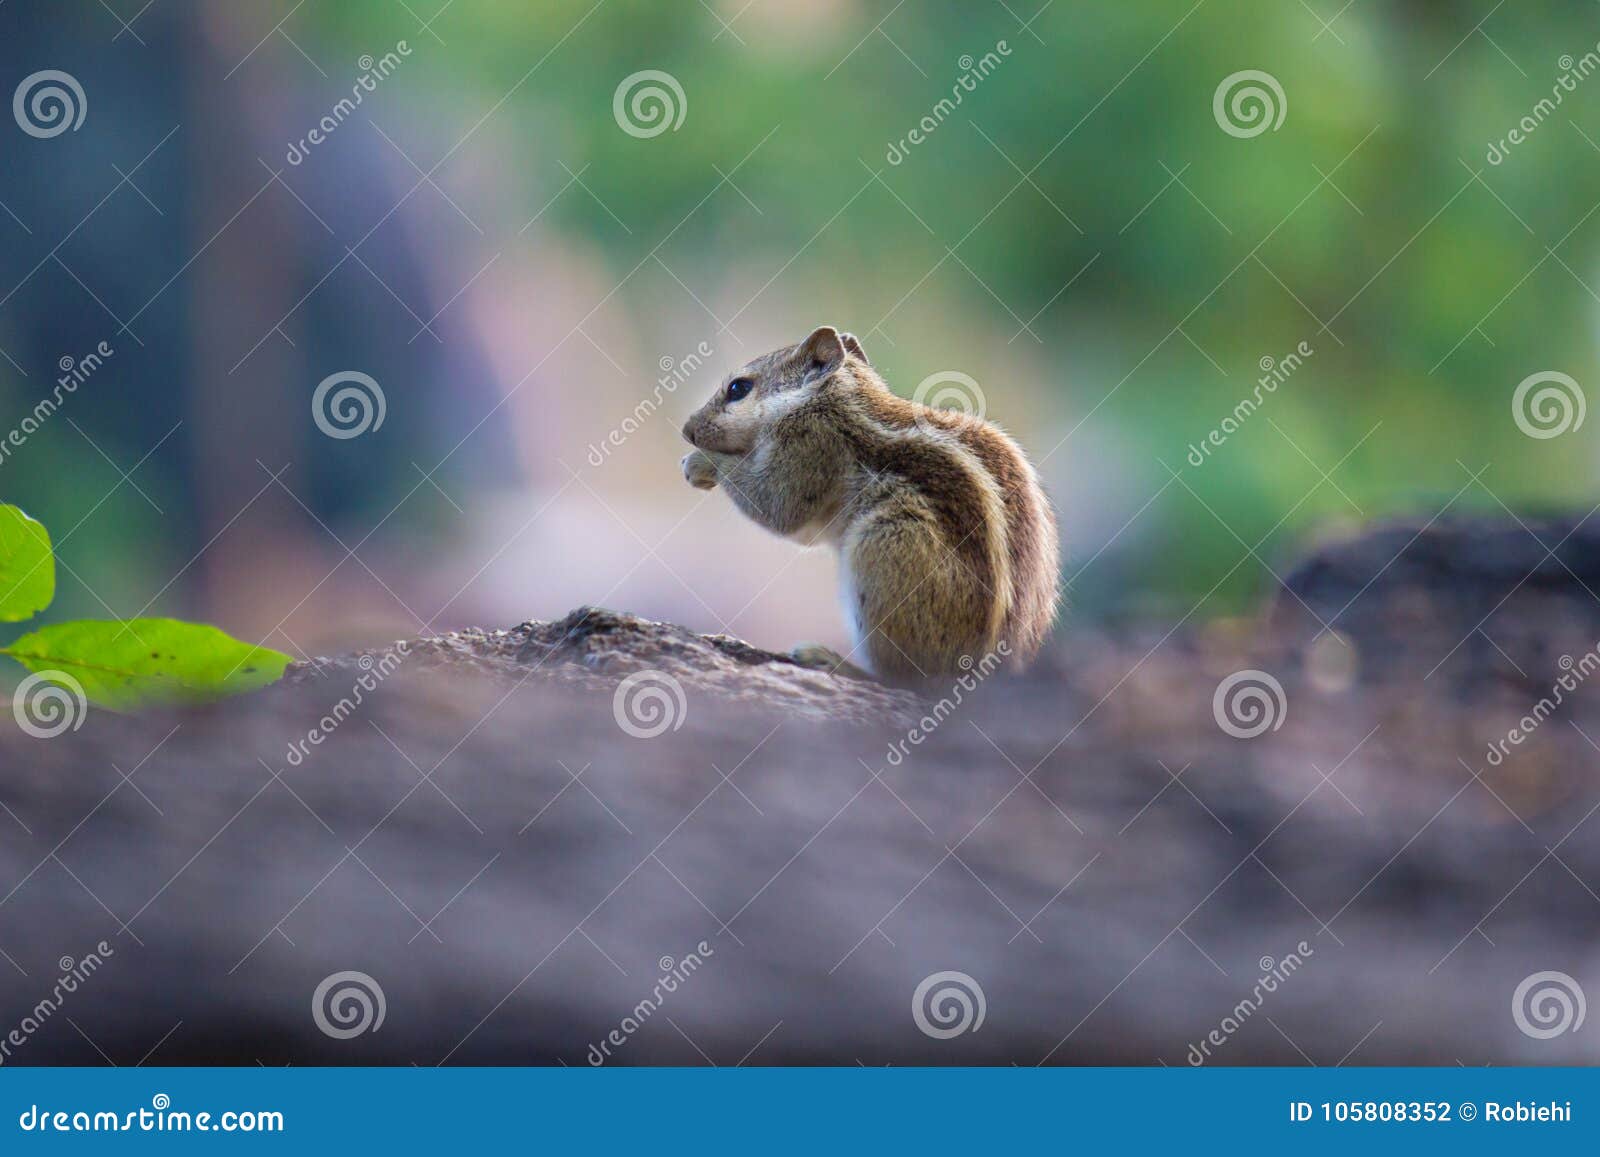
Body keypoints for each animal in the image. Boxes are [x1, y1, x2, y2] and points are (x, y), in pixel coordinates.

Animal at [680, 325, 1060, 686]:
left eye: (738, 388)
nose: (687, 430)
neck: (838, 397)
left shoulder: (809, 444)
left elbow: (777, 508)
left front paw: (701, 463)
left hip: (885, 546)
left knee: (907, 681)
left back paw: (833, 662)